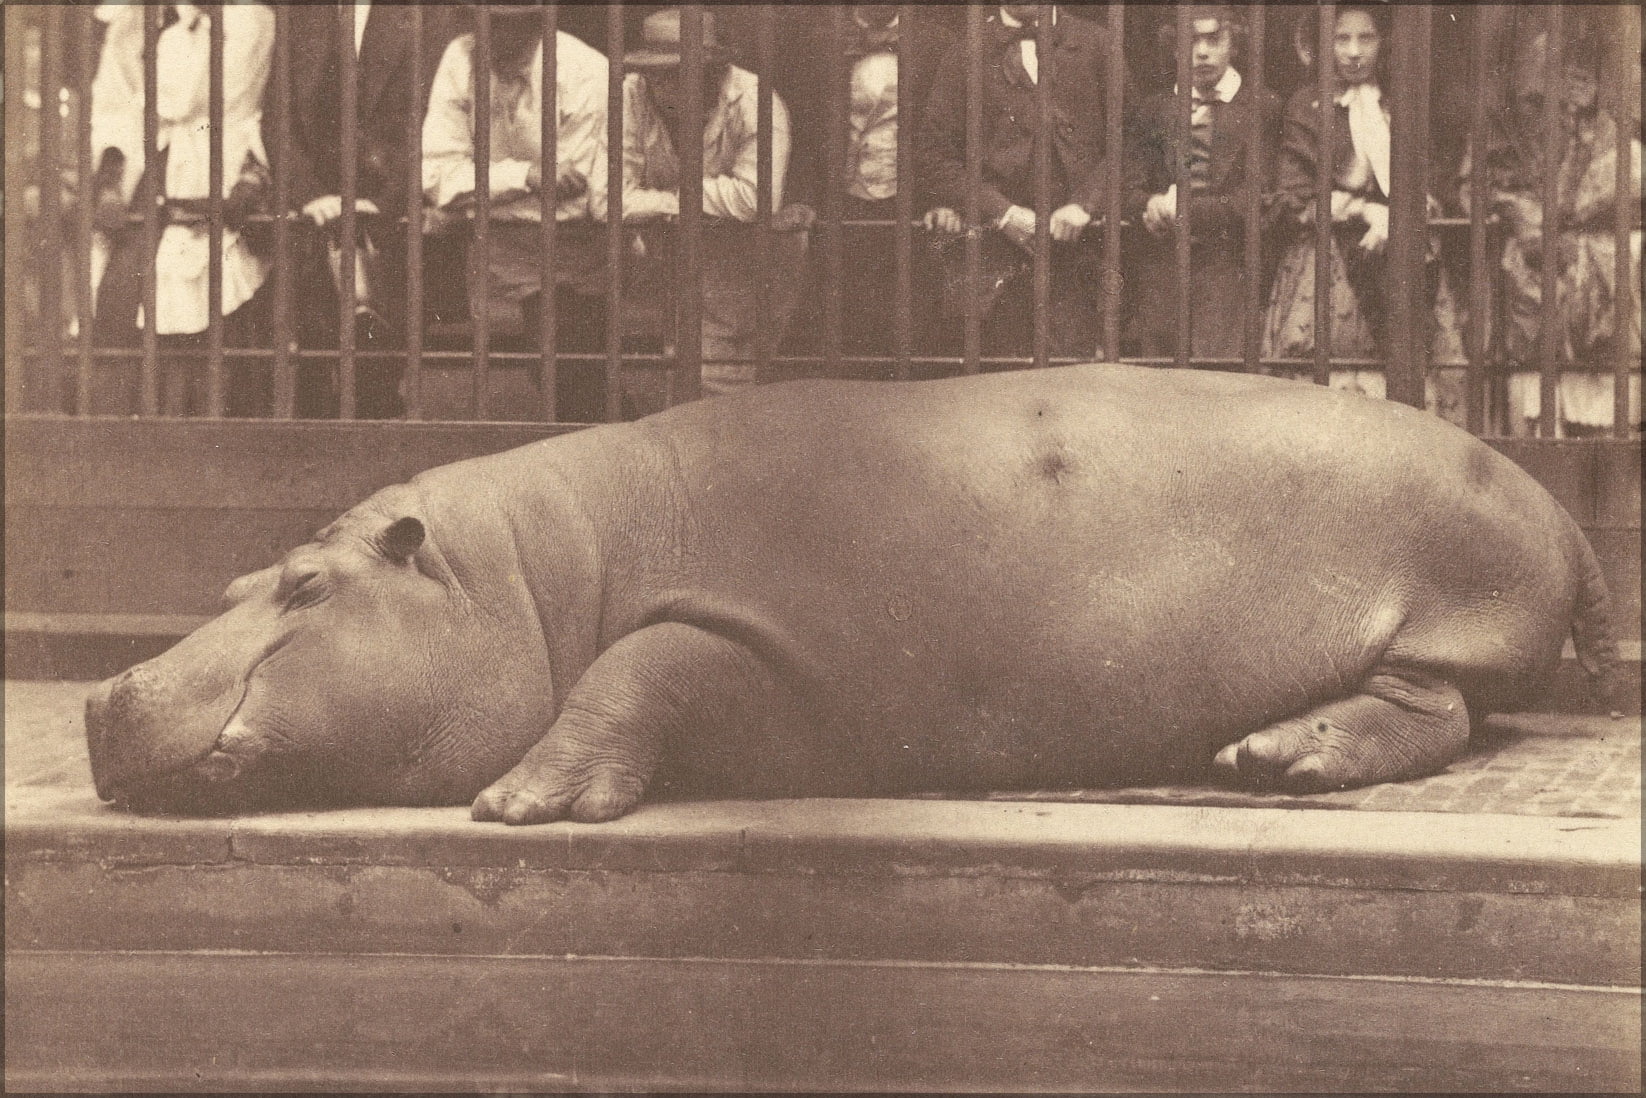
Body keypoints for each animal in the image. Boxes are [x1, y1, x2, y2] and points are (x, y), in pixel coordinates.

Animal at [84, 364, 1616, 824]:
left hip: (1446, 618)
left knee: (1432, 712)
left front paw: (521, 802)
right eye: (237, 572)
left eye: (305, 581)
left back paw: (1277, 757)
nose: (105, 690)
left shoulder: (745, 625)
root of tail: (1555, 501)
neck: (531, 573)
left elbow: (636, 667)